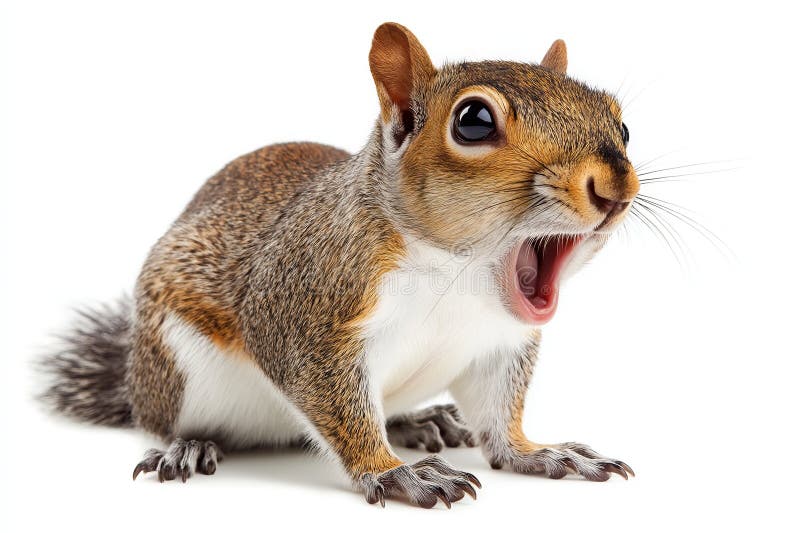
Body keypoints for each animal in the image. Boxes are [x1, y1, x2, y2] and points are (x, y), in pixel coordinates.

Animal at [39, 22, 639, 508]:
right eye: (473, 122)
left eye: (622, 125)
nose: (613, 185)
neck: (459, 270)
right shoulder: (304, 305)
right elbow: (330, 396)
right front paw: (395, 474)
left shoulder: (500, 342)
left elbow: (499, 421)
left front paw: (541, 452)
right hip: (173, 369)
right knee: (157, 420)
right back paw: (184, 446)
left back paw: (421, 420)